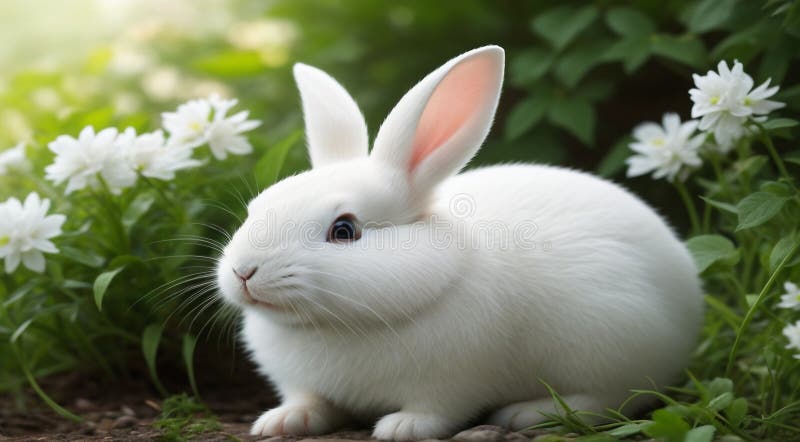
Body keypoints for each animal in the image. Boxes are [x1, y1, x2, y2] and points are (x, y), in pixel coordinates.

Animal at [215, 45, 704, 440]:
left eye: (344, 230)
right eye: (256, 207)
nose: (243, 271)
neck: (335, 325)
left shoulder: (453, 381)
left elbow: (437, 411)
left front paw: (402, 427)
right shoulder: (301, 382)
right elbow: (309, 400)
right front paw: (280, 421)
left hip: (610, 343)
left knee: (612, 400)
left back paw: (529, 414)